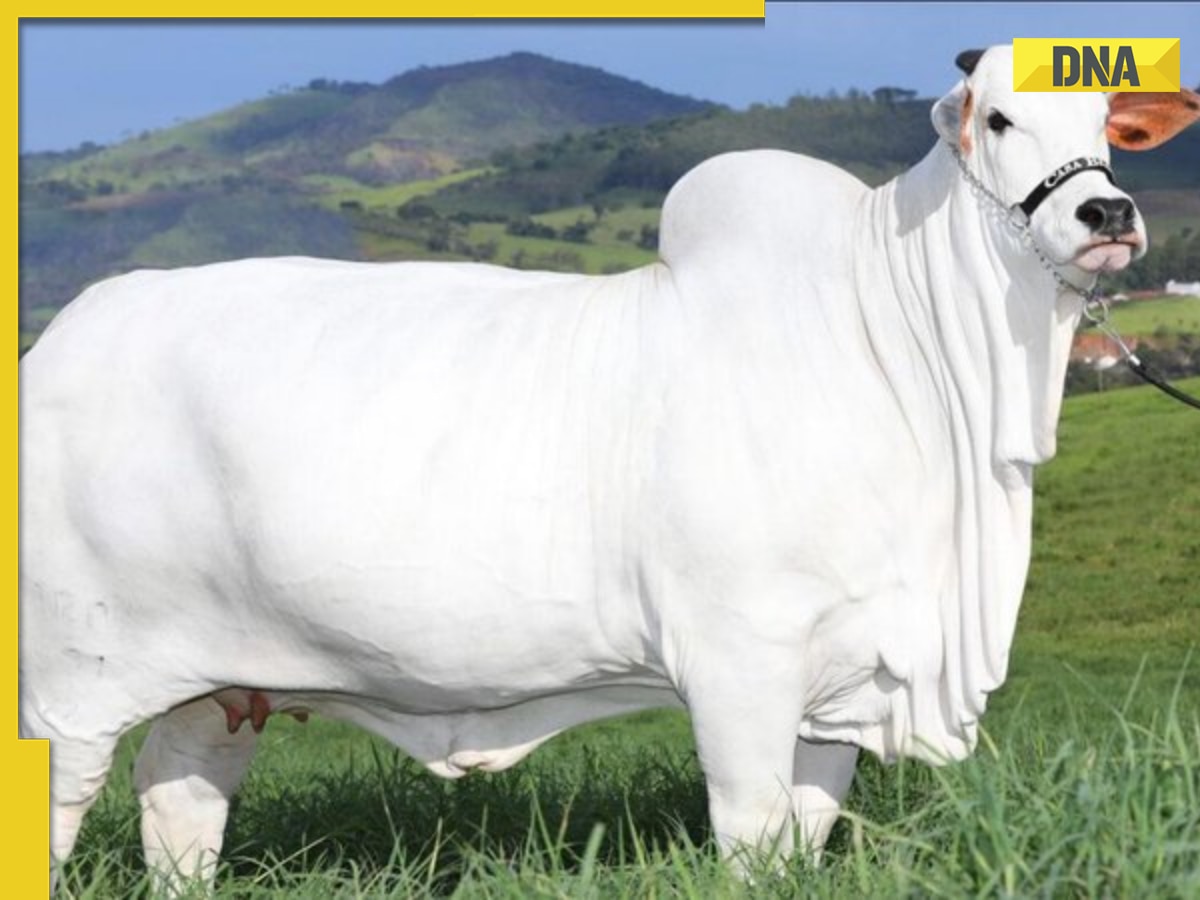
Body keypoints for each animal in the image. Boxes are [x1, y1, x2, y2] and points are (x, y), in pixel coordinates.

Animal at [19, 45, 1200, 891]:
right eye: (997, 118)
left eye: (1111, 124)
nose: (1107, 214)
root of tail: (58, 342)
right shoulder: (738, 664)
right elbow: (751, 838)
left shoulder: (839, 685)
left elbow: (803, 840)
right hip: (66, 687)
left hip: (217, 685)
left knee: (179, 805)